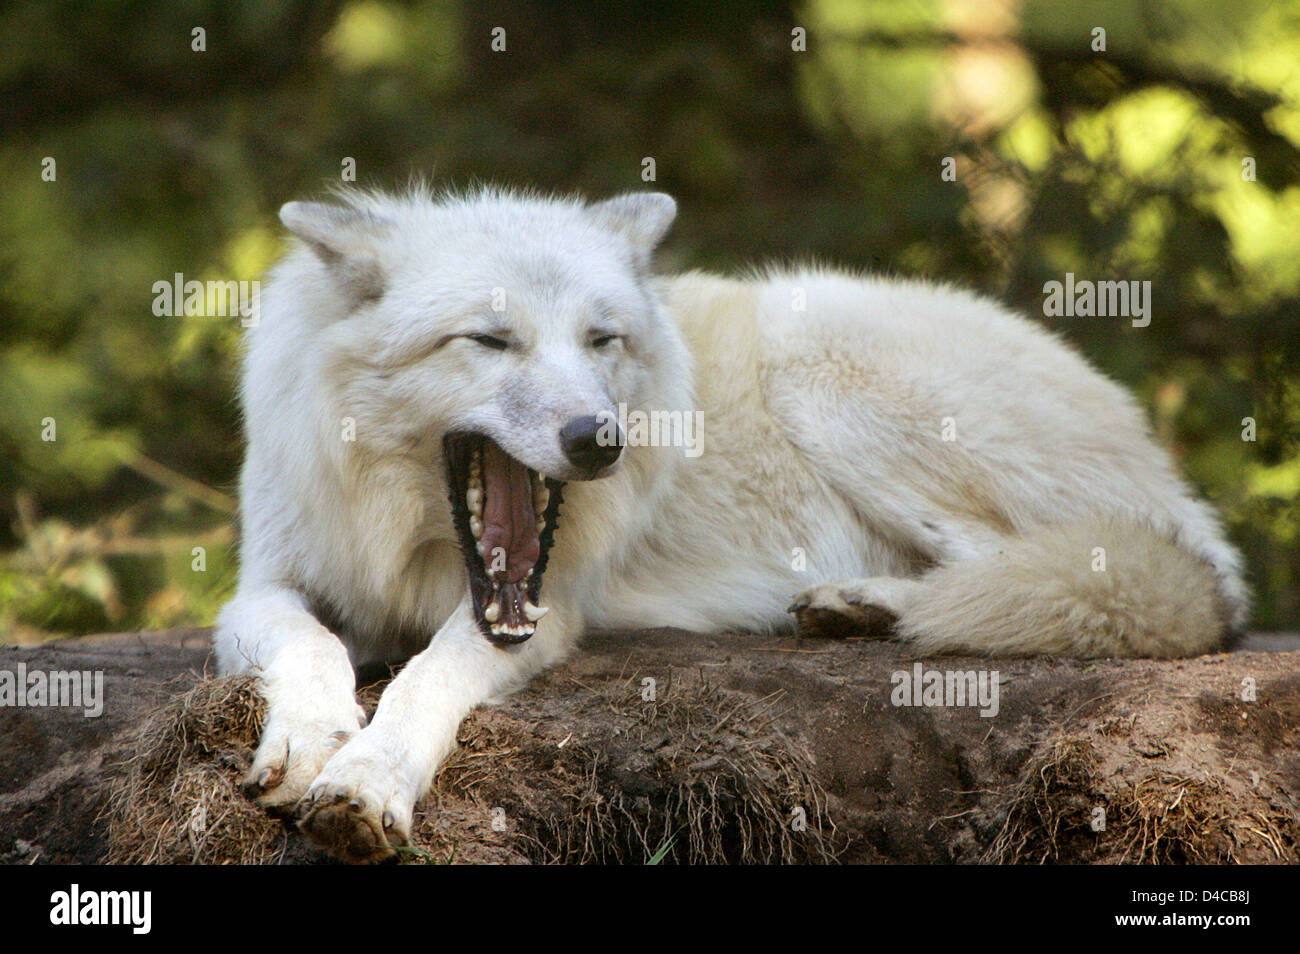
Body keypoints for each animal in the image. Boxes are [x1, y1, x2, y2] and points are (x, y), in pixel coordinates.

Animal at [215, 185, 1247, 862]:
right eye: (491, 340)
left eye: (601, 339)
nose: (600, 439)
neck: (407, 534)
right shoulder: (262, 586)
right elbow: (309, 642)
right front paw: (309, 741)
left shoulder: (544, 610)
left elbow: (428, 675)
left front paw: (368, 781)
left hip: (815, 363)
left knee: (1028, 571)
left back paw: (865, 604)